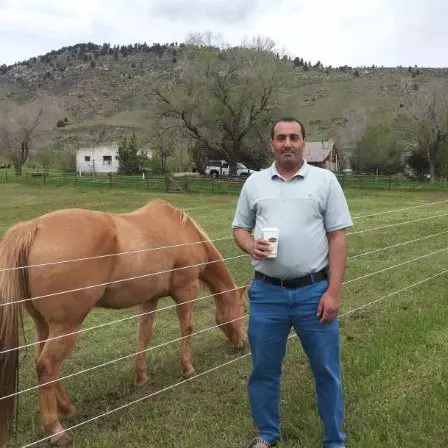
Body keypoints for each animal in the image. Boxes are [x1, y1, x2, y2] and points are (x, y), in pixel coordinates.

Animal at [0, 200, 245, 448]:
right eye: (244, 309)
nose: (242, 344)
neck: (185, 232)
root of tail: (34, 227)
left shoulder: (149, 299)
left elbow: (144, 337)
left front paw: (141, 377)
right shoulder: (186, 292)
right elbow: (187, 330)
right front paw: (187, 368)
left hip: (43, 324)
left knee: (42, 363)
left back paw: (68, 409)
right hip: (66, 325)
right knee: (47, 366)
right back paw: (56, 429)